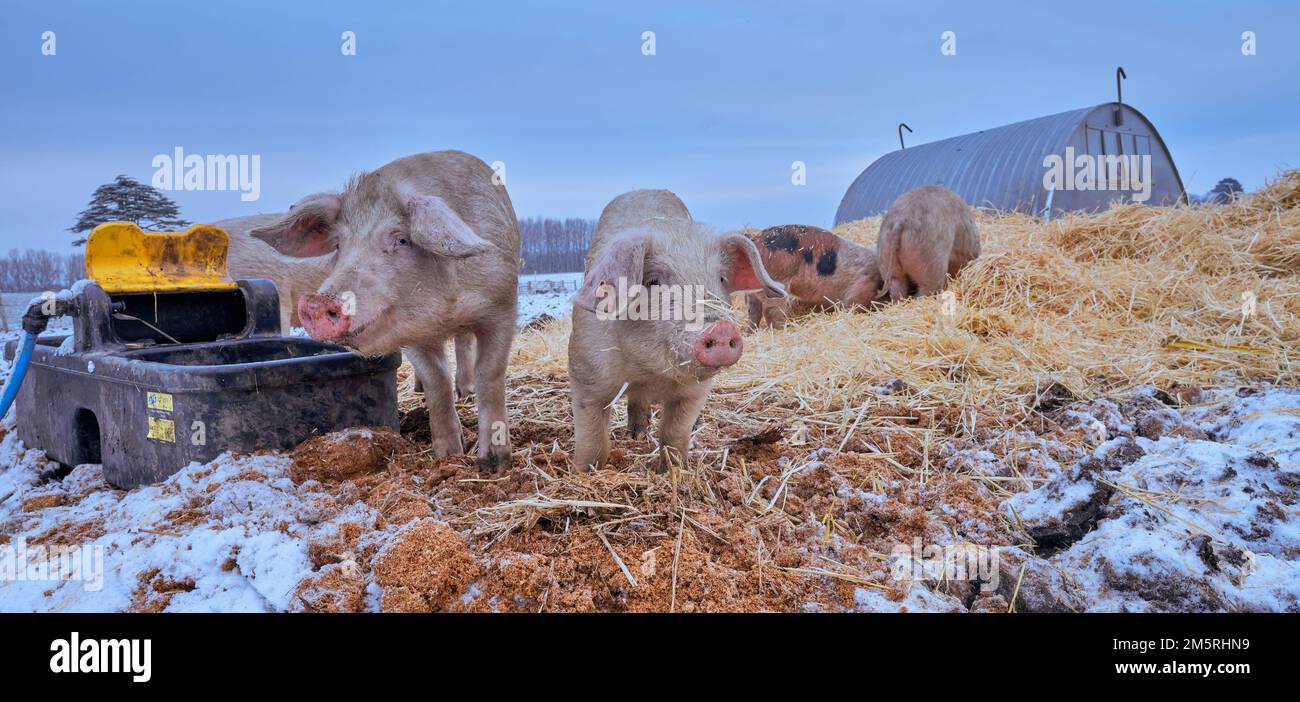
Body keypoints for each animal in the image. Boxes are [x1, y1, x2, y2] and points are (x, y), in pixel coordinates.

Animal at [249, 150, 521, 470]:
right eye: (338, 245)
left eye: (402, 239)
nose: (316, 301)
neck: (445, 313)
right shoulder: (409, 333)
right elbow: (436, 380)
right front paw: (448, 455)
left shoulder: (503, 305)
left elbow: (489, 373)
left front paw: (495, 464)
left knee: (464, 345)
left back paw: (466, 393)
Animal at [568, 189, 785, 472]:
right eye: (653, 280)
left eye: (721, 278)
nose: (721, 328)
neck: (648, 372)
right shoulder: (587, 375)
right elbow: (593, 440)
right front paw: (582, 472)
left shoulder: (693, 393)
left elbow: (674, 434)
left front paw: (673, 471)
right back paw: (636, 435)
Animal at [744, 224, 883, 328]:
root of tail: (755, 243)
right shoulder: (859, 290)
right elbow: (850, 307)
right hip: (775, 288)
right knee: (770, 312)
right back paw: (783, 329)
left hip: (753, 293)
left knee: (753, 312)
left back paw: (751, 332)